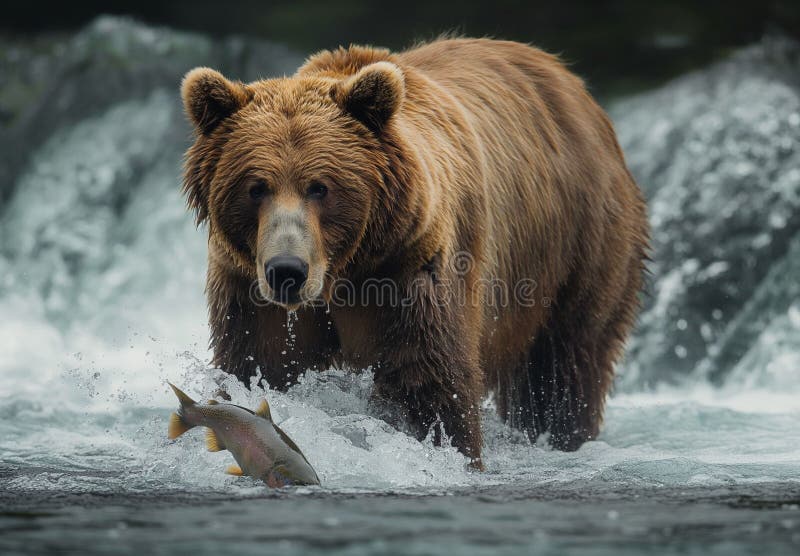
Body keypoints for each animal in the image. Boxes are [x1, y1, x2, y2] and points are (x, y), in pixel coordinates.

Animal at [181, 38, 649, 469]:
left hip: (577, 244)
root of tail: (569, 80)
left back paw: (563, 434)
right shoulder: (250, 292)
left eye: (320, 187)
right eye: (256, 187)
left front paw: (450, 450)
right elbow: (261, 366)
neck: (344, 270)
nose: (287, 271)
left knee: (562, 368)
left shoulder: (411, 270)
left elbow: (429, 380)